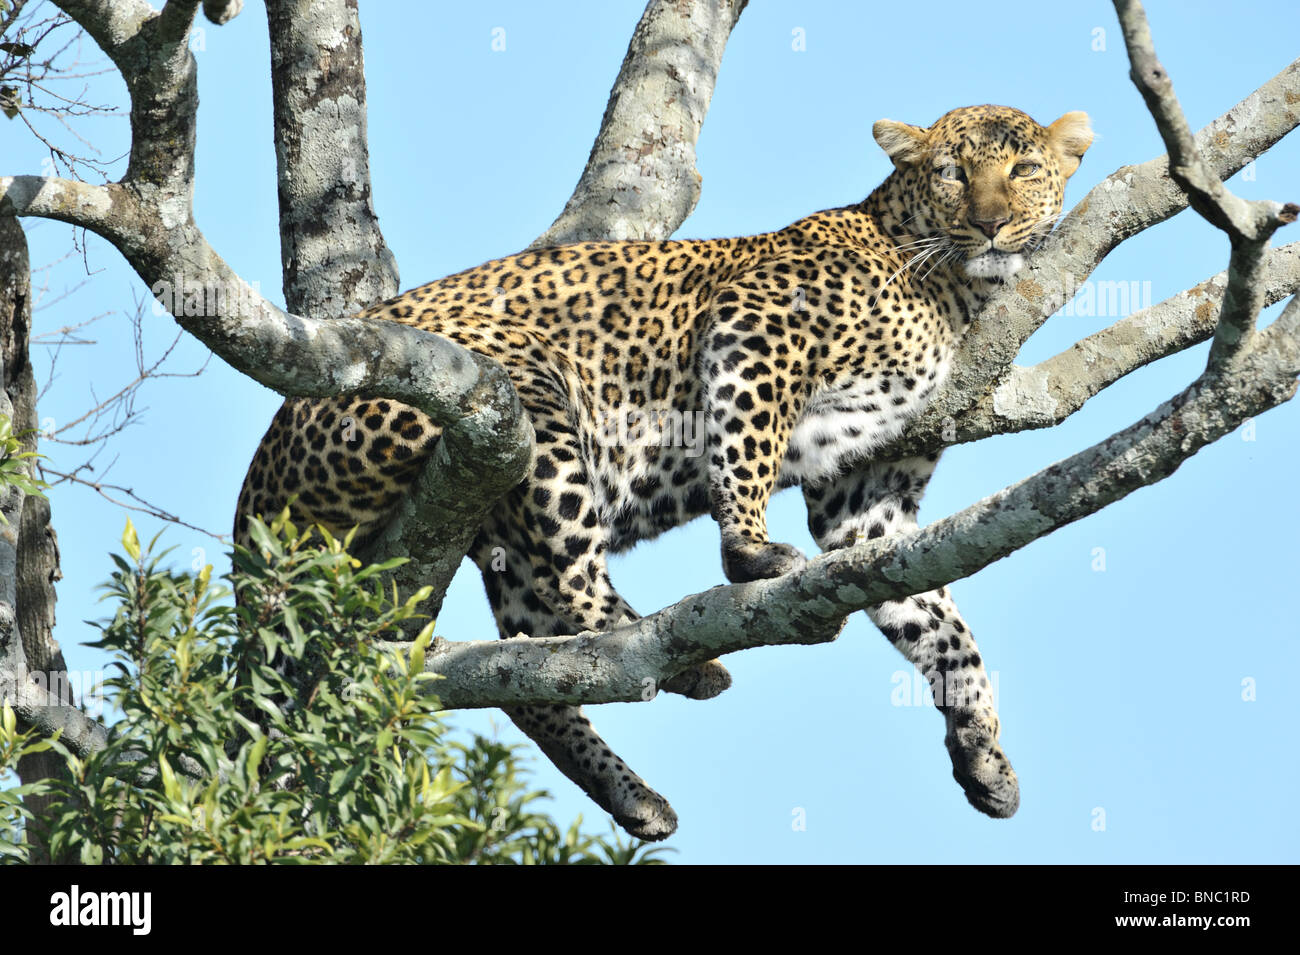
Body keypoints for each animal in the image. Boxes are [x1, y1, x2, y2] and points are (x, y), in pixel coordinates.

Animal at [236, 104, 1092, 841]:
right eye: (953, 172)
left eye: (1022, 168)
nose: (990, 223)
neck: (951, 292)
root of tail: (257, 483)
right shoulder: (757, 325)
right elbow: (746, 445)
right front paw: (749, 551)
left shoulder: (867, 500)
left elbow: (942, 627)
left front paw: (983, 750)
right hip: (522, 400)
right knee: (578, 596)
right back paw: (686, 660)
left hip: (496, 526)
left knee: (533, 662)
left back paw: (634, 793)